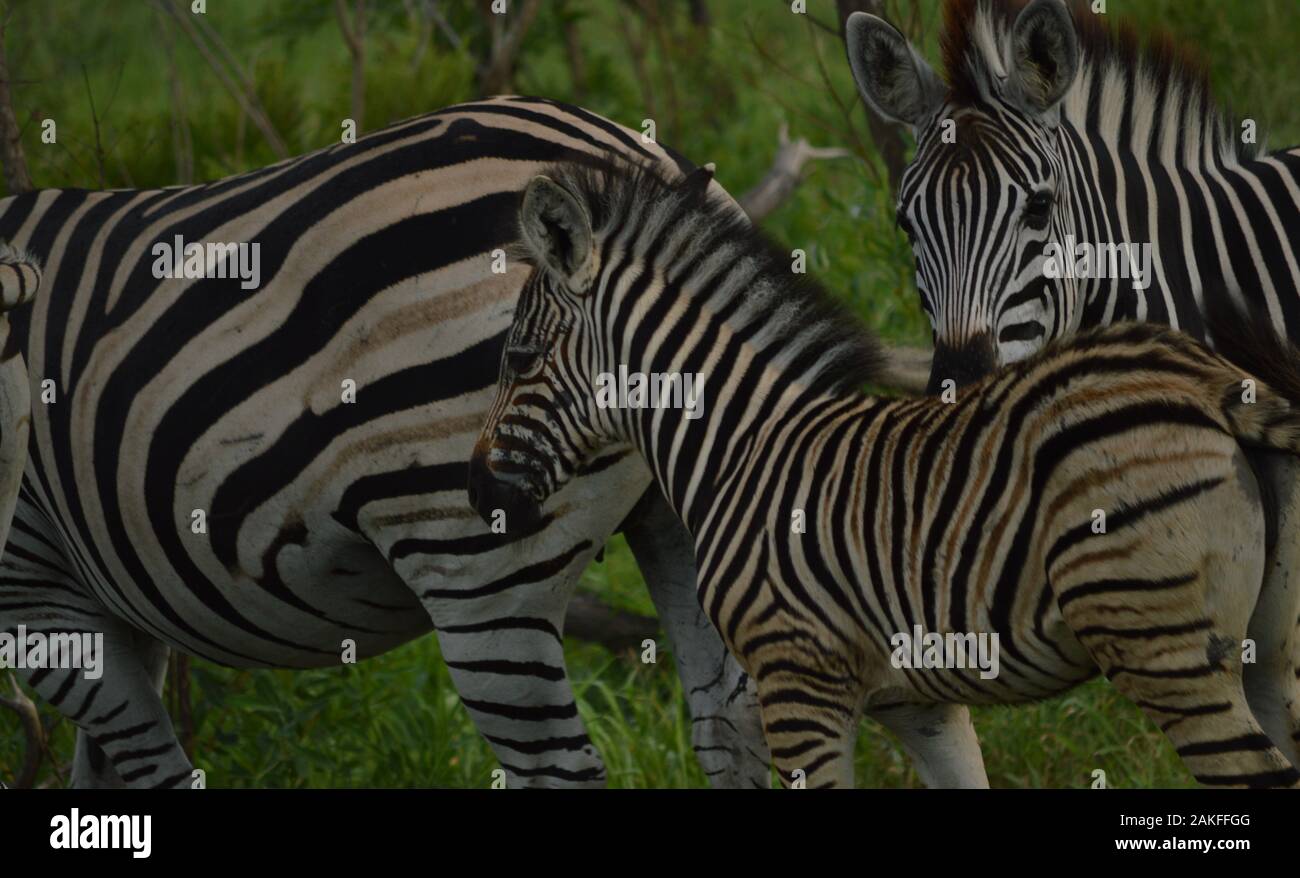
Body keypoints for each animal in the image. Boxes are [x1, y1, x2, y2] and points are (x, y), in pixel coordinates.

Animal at [0, 96, 770, 789]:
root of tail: (631, 156)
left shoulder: (31, 587)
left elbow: (150, 771)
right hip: (698, 501)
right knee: (732, 727)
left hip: (473, 564)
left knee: (558, 770)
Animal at [470, 158, 1300, 788]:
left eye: (518, 359)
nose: (478, 494)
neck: (740, 447)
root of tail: (1208, 382)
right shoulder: (920, 706)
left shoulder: (796, 681)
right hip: (1266, 653)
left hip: (1164, 648)